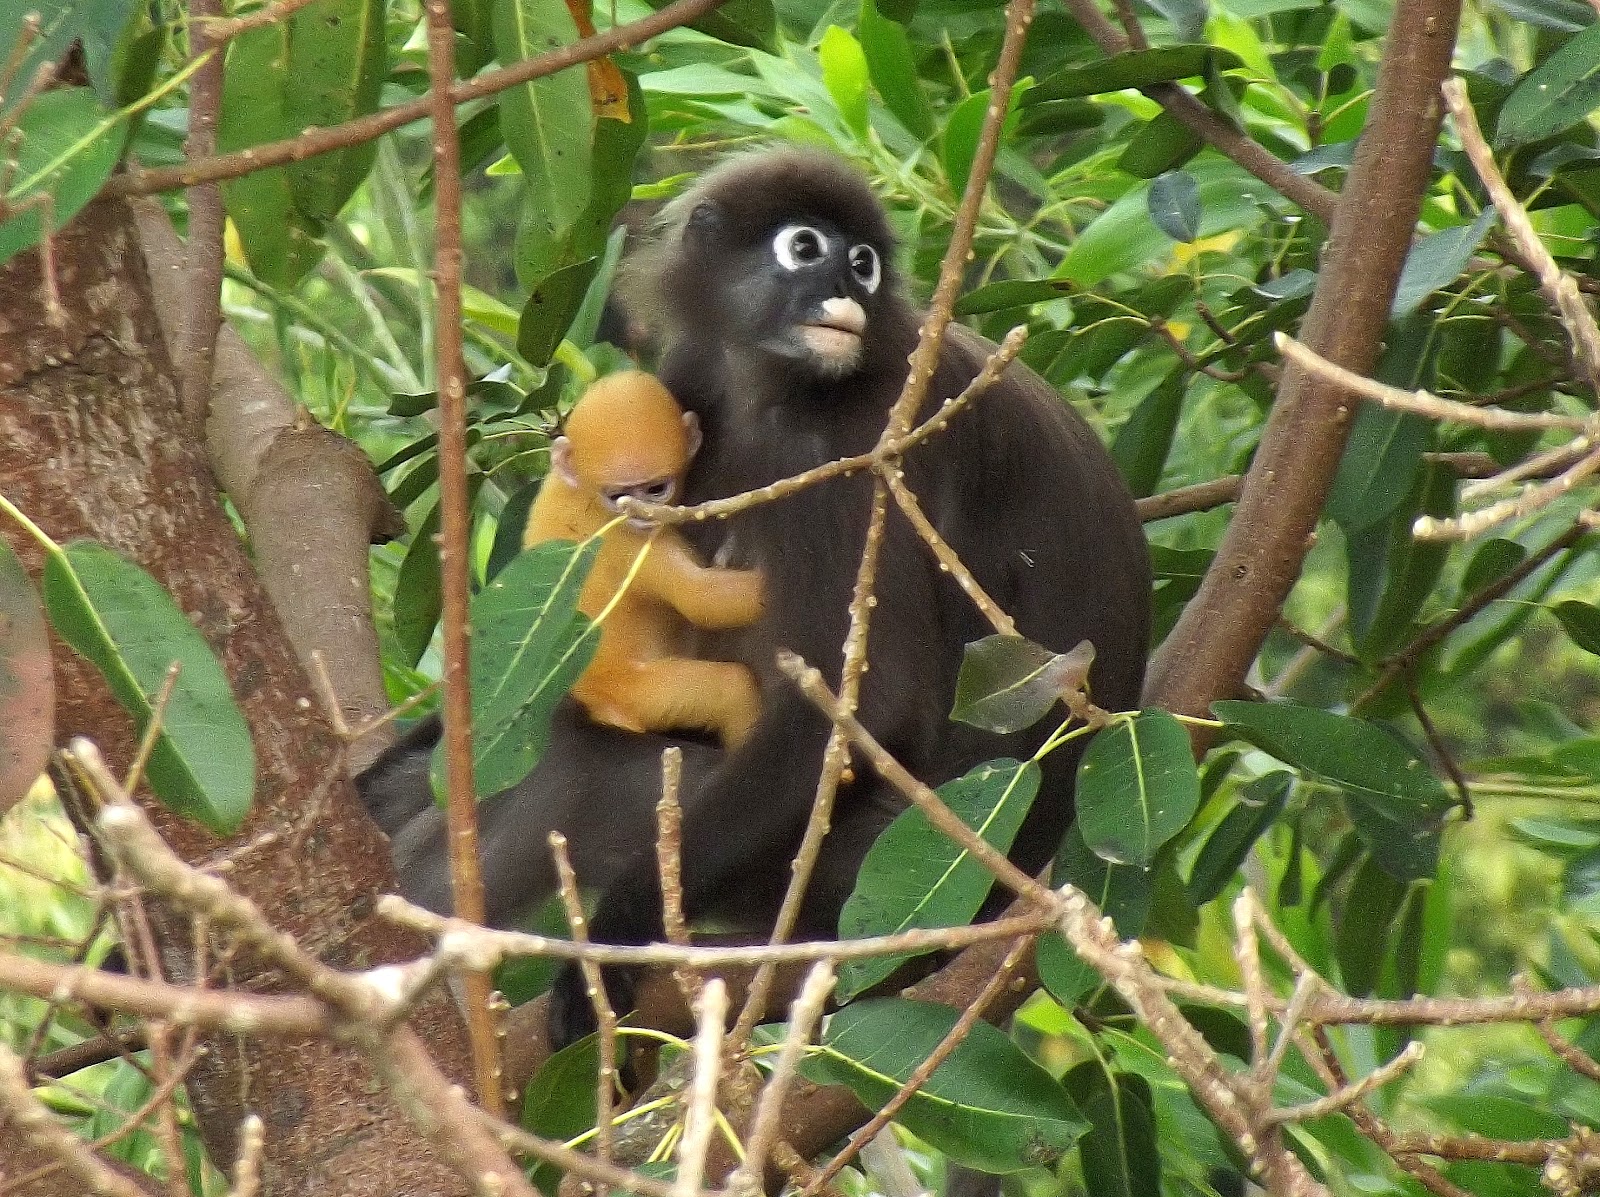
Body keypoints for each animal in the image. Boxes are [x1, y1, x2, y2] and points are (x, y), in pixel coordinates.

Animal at [524, 370, 763, 750]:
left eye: (655, 489)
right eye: (619, 495)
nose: (641, 513)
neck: (578, 492)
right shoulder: (623, 540)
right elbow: (701, 599)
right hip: (635, 693)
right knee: (732, 689)